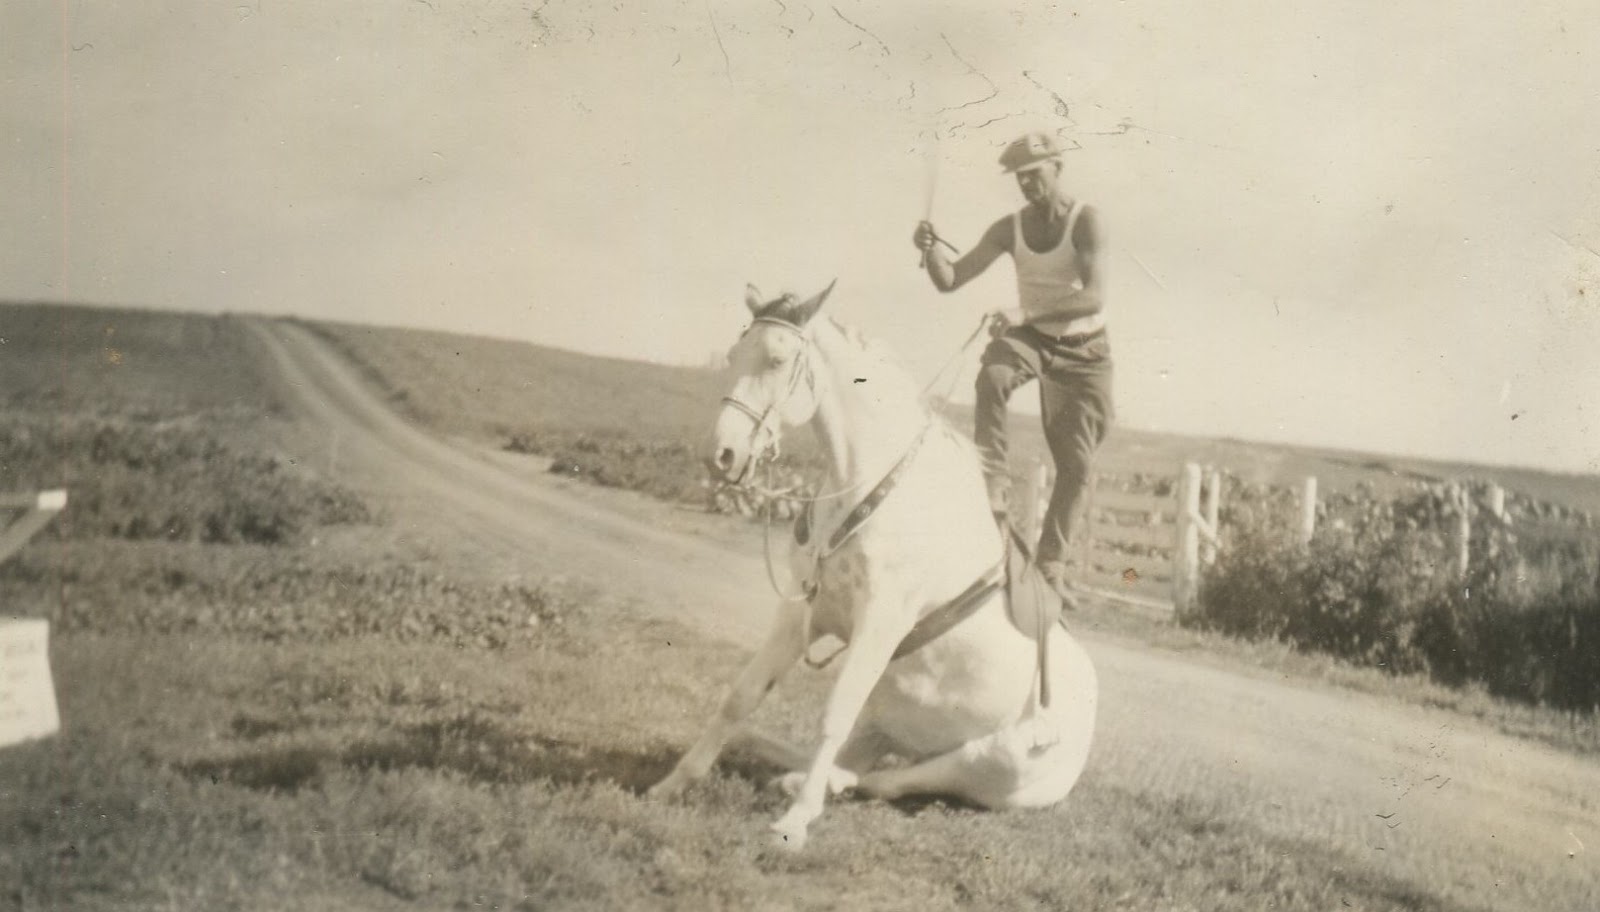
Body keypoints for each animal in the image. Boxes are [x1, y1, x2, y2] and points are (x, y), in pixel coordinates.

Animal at [648, 281, 1098, 850]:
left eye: (776, 360)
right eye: (732, 357)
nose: (721, 455)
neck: (868, 485)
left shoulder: (879, 624)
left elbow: (834, 713)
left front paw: (796, 822)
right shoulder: (802, 615)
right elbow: (741, 697)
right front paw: (674, 783)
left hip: (982, 765)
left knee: (887, 781)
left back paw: (819, 787)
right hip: (885, 721)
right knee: (847, 753)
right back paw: (792, 772)